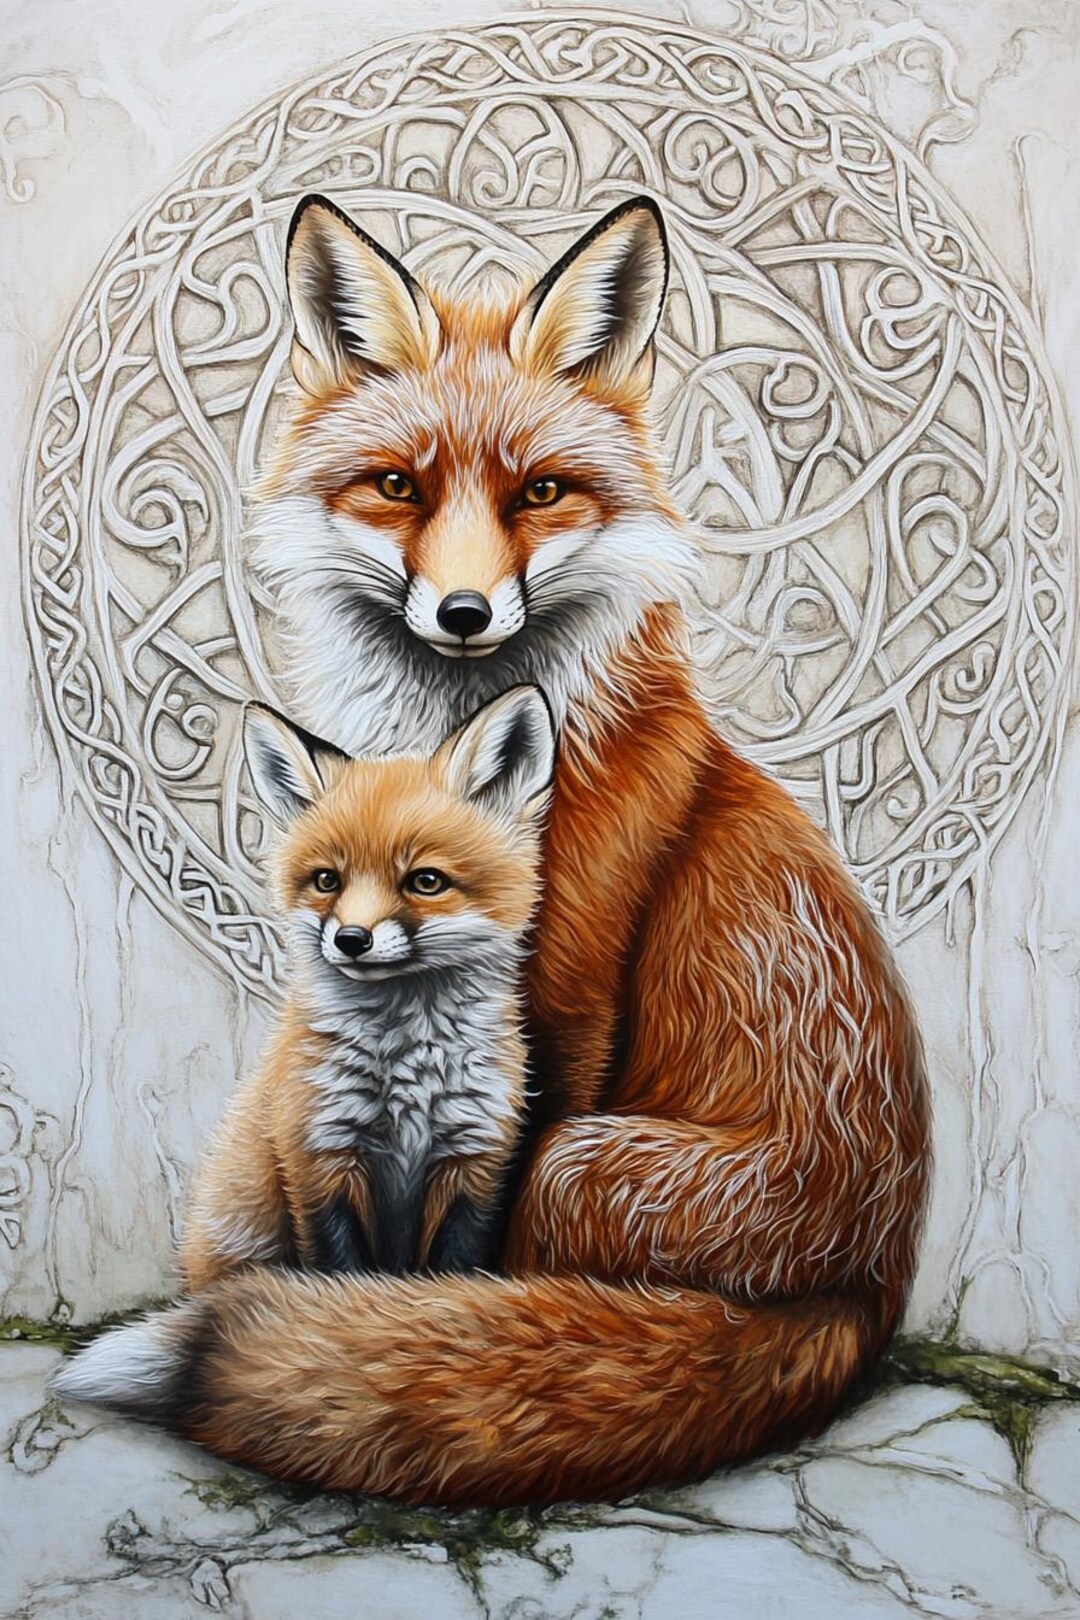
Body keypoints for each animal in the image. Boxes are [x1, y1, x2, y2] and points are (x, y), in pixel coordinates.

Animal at [53, 193, 931, 1508]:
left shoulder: (560, 1012)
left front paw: (399, 1328)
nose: (463, 614)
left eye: (541, 492)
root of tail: (870, 1293)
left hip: (576, 1159)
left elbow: (473, 1230)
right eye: (398, 486)